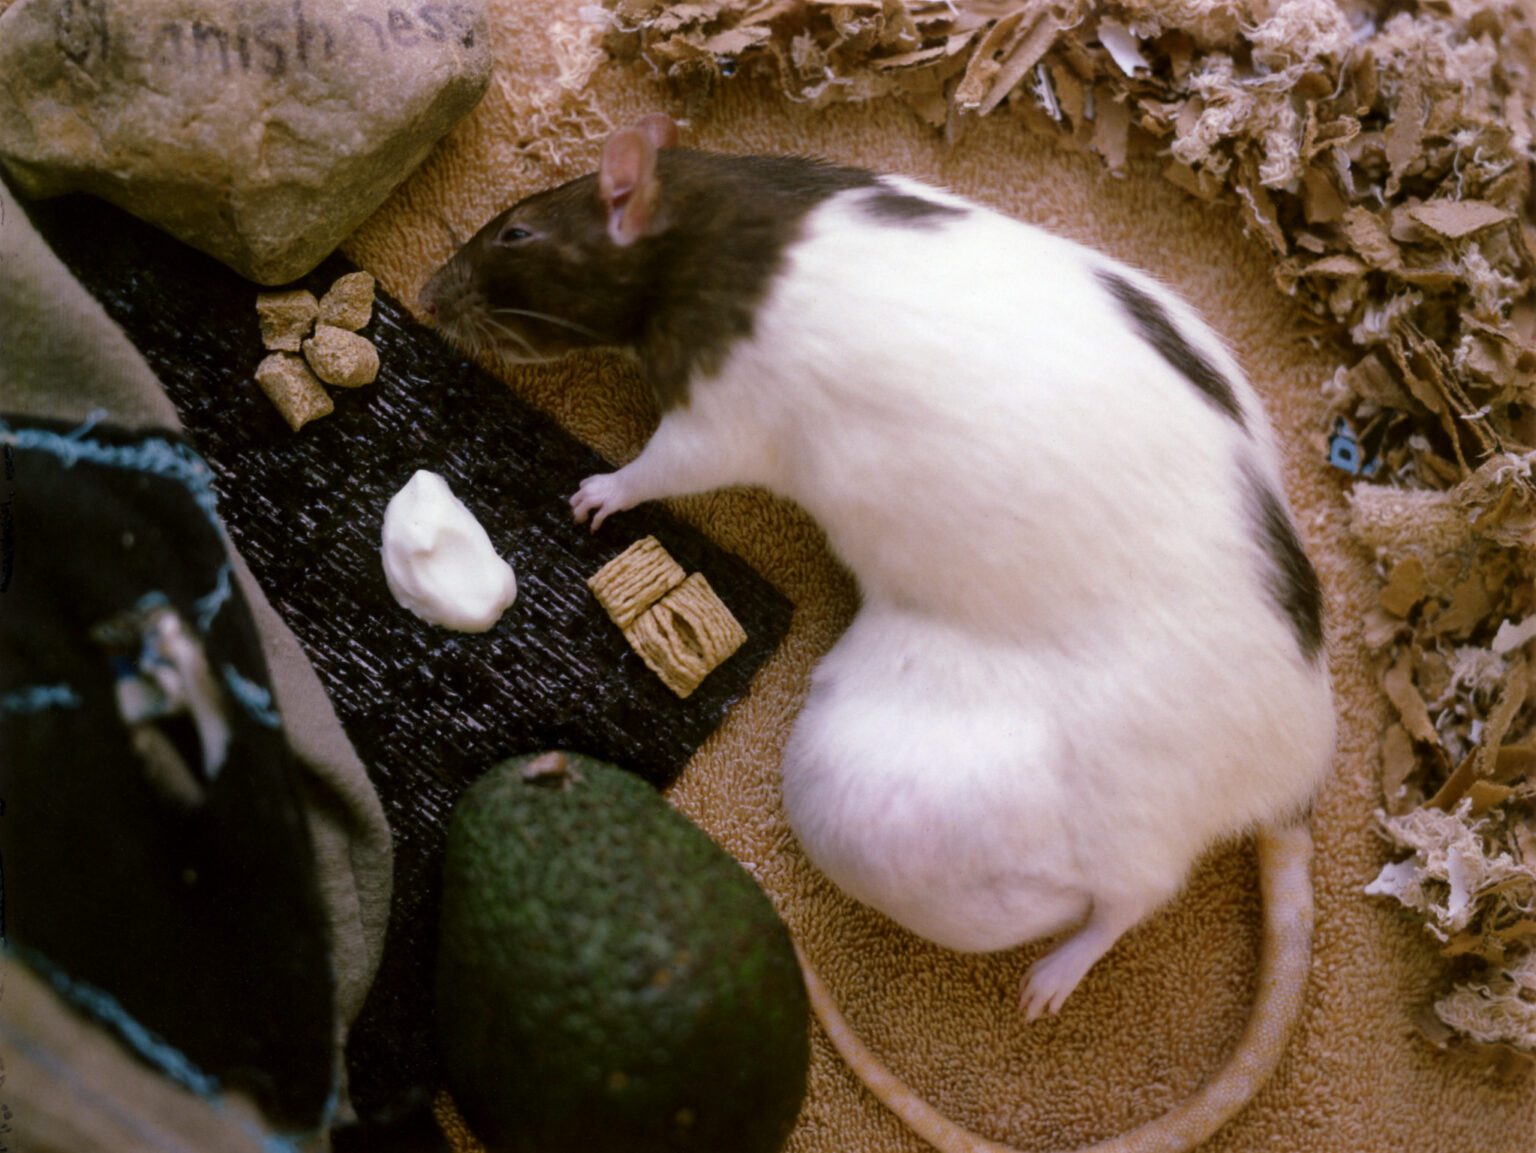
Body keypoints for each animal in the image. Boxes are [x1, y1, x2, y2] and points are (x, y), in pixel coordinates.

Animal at [420, 115, 1336, 1153]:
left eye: (516, 233)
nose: (427, 295)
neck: (702, 212)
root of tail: (1293, 771)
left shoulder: (722, 415)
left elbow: (670, 464)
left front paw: (604, 490)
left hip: (1013, 795)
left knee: (1132, 894)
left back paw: (1064, 961)